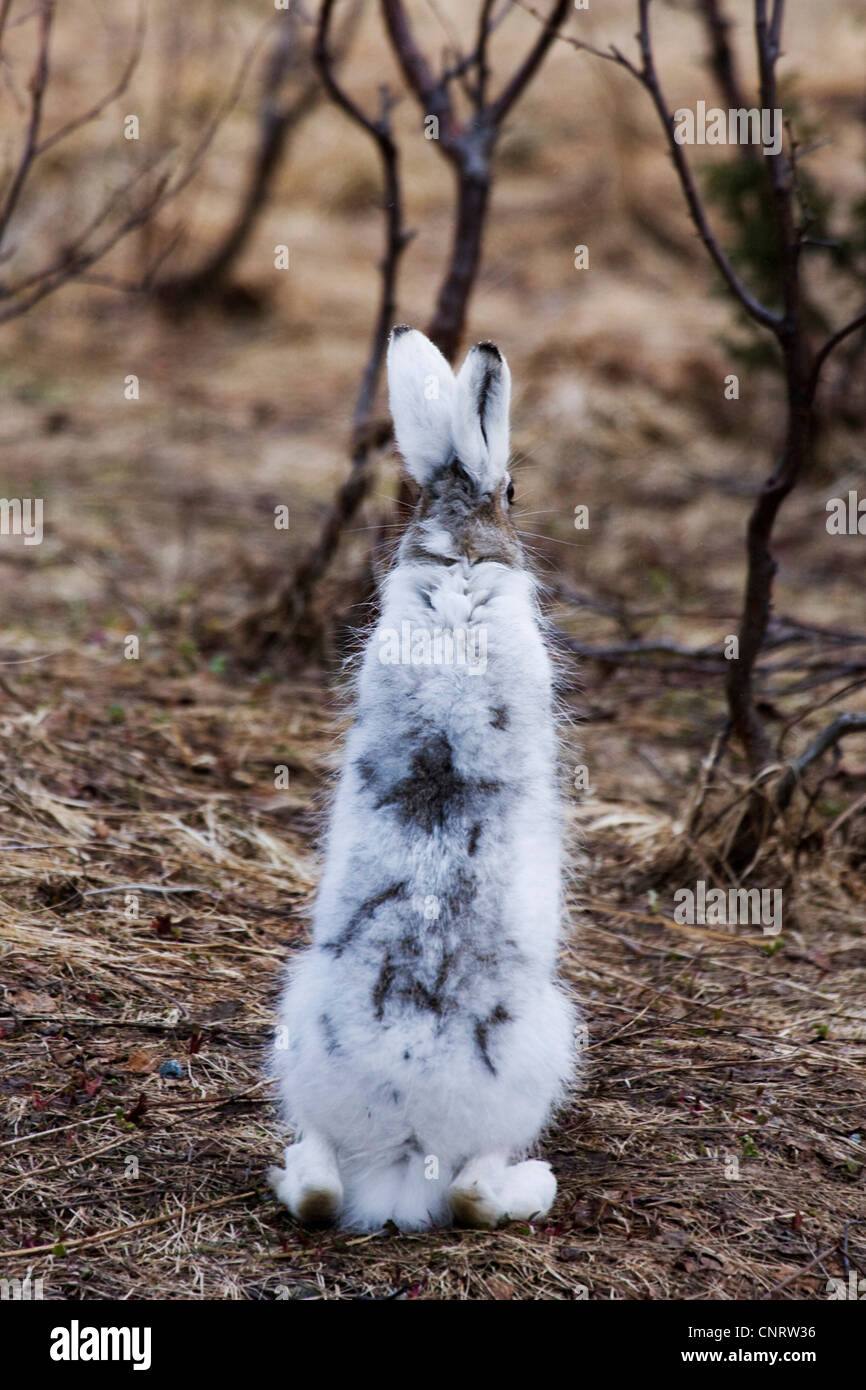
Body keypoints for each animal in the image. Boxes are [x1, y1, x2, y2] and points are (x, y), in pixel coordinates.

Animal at [269, 325, 576, 1231]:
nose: (515, 501)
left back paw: (295, 1173)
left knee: (323, 1189)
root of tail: (407, 1146)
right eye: (513, 488)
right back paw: (532, 1185)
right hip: (548, 1042)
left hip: (296, 1024)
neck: (460, 560)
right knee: (473, 1193)